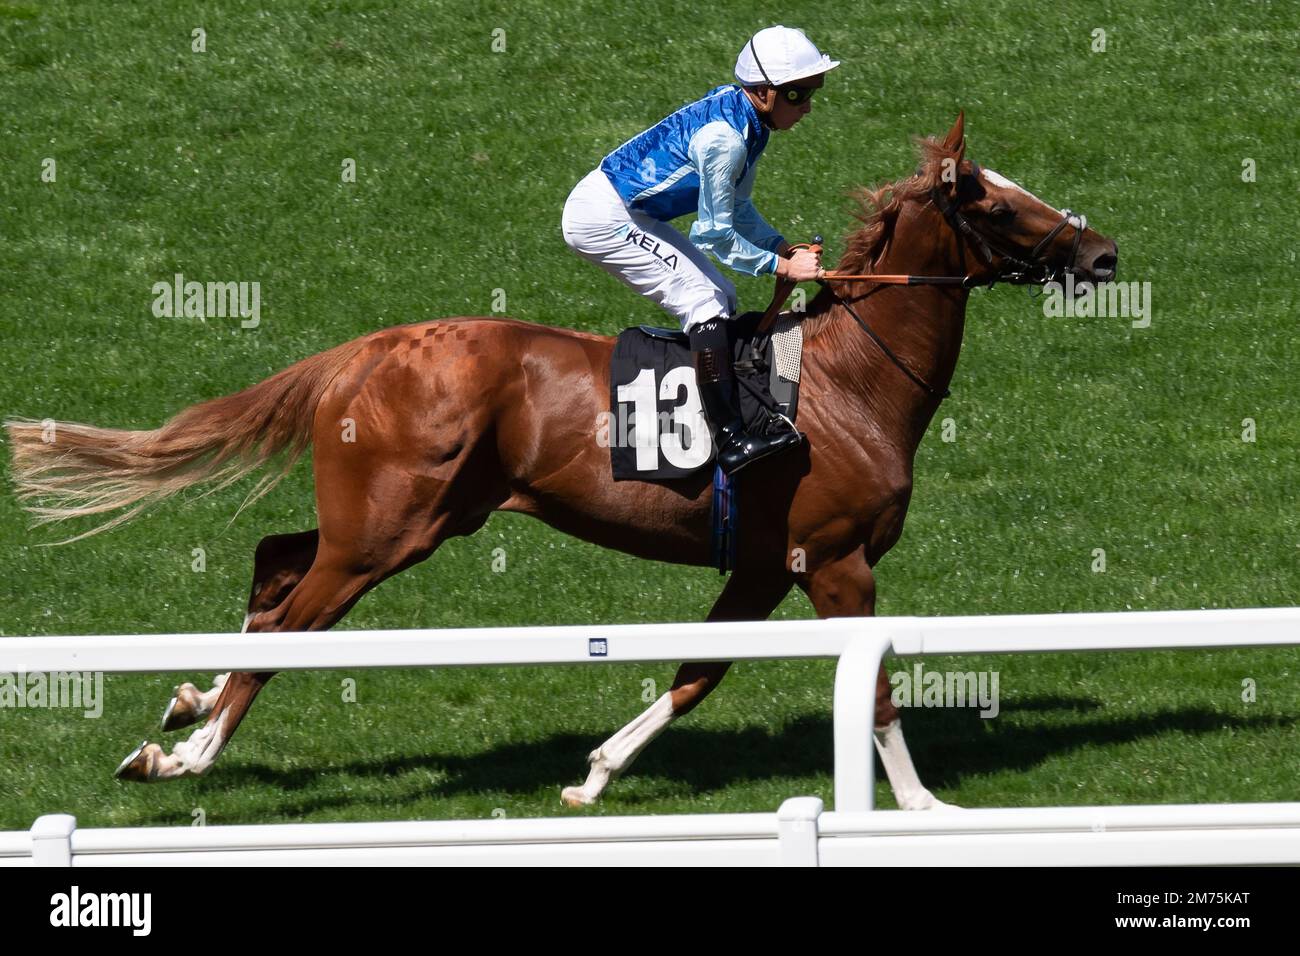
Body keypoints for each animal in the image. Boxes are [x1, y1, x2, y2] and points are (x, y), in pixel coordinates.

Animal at [6, 113, 1117, 809]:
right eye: (998, 203)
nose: (1101, 253)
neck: (849, 381)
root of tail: (370, 347)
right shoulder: (837, 561)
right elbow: (873, 687)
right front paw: (923, 801)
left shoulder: (764, 563)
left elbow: (697, 672)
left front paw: (594, 774)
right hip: (385, 535)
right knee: (293, 622)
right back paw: (187, 752)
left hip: (403, 516)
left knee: (276, 560)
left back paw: (190, 700)